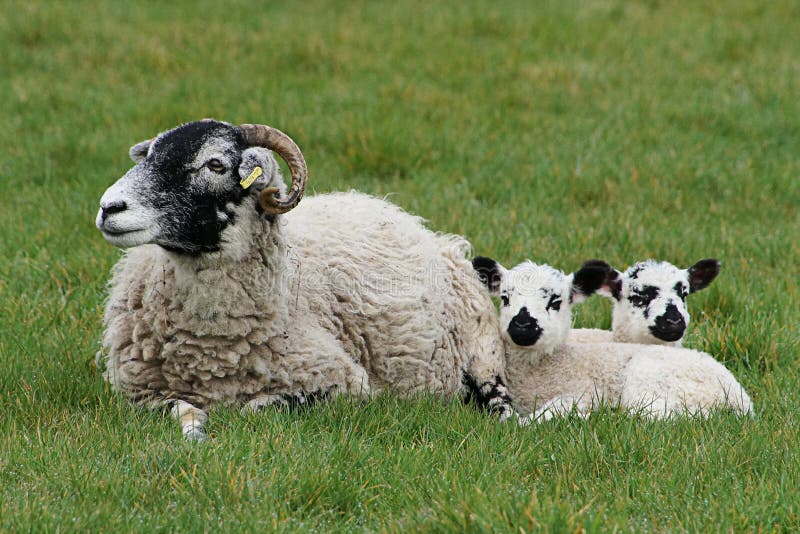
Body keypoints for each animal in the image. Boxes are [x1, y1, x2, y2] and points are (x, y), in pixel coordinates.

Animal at [95, 119, 513, 440]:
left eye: (215, 164)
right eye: (150, 153)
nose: (108, 207)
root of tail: (432, 235)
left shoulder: (343, 381)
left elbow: (254, 408)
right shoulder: (140, 392)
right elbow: (182, 410)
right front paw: (195, 433)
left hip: (483, 351)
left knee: (500, 401)